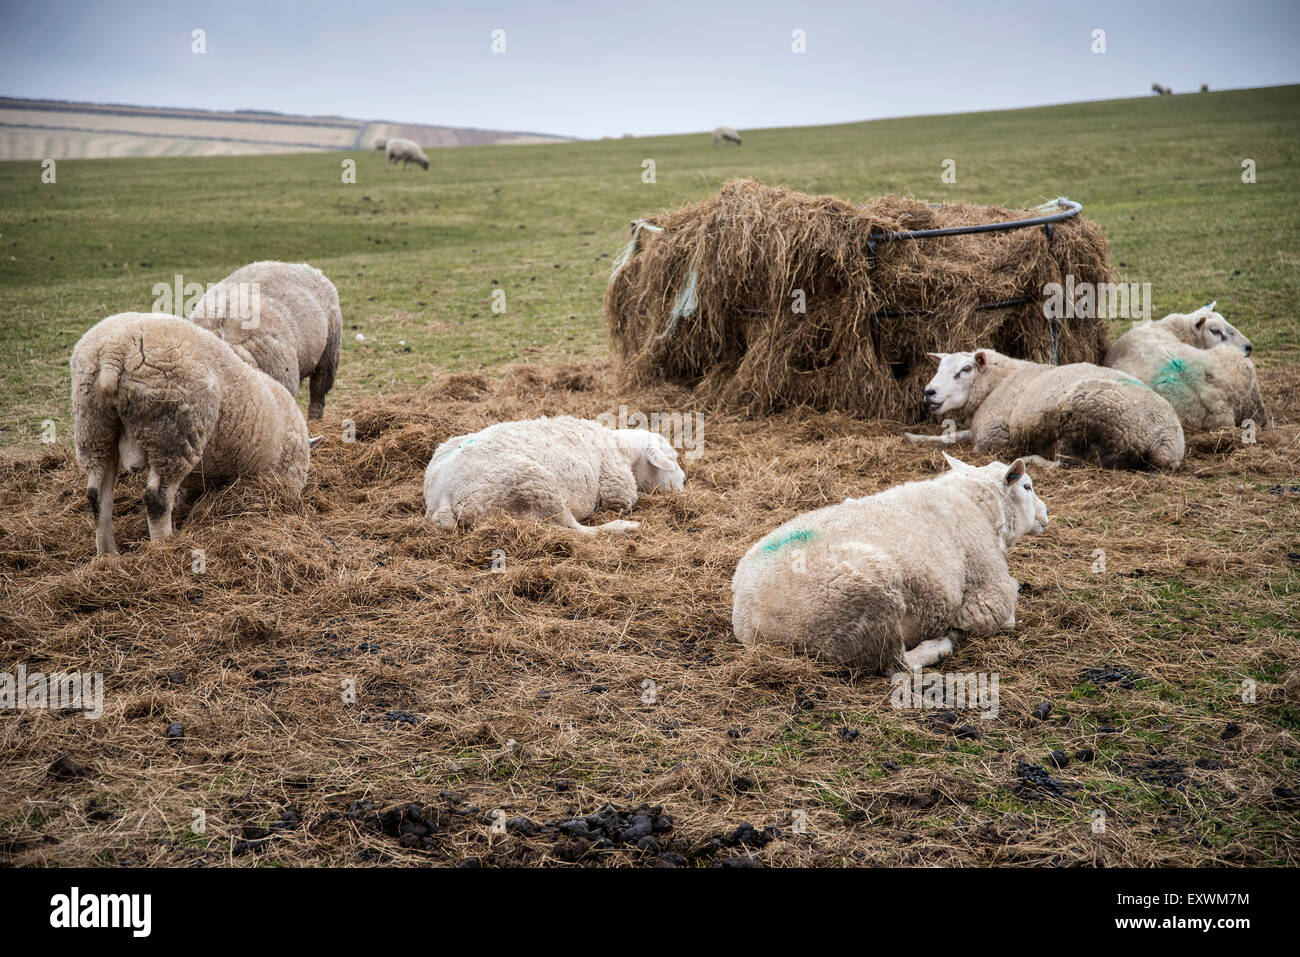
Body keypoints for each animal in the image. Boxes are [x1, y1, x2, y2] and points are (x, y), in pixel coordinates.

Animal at [70, 312, 310, 556]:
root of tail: (114, 354)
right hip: (172, 432)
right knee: (157, 498)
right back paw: (164, 546)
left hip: (94, 425)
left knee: (97, 494)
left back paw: (108, 555)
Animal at [423, 416, 685, 535]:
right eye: (671, 458)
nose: (685, 481)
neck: (620, 447)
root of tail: (442, 498)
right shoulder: (618, 491)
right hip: (536, 486)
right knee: (578, 530)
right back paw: (626, 526)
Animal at [731, 454, 1048, 674]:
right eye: (1027, 486)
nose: (1046, 514)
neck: (978, 506)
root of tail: (752, 626)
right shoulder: (988, 597)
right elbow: (1006, 615)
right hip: (871, 601)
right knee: (897, 666)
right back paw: (939, 646)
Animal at [905, 349, 1186, 471]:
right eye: (939, 368)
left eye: (965, 370)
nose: (929, 392)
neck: (997, 382)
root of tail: (1164, 442)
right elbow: (950, 436)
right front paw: (914, 437)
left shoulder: (993, 437)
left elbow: (964, 443)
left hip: (1083, 421)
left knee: (1066, 464)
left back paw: (1029, 459)